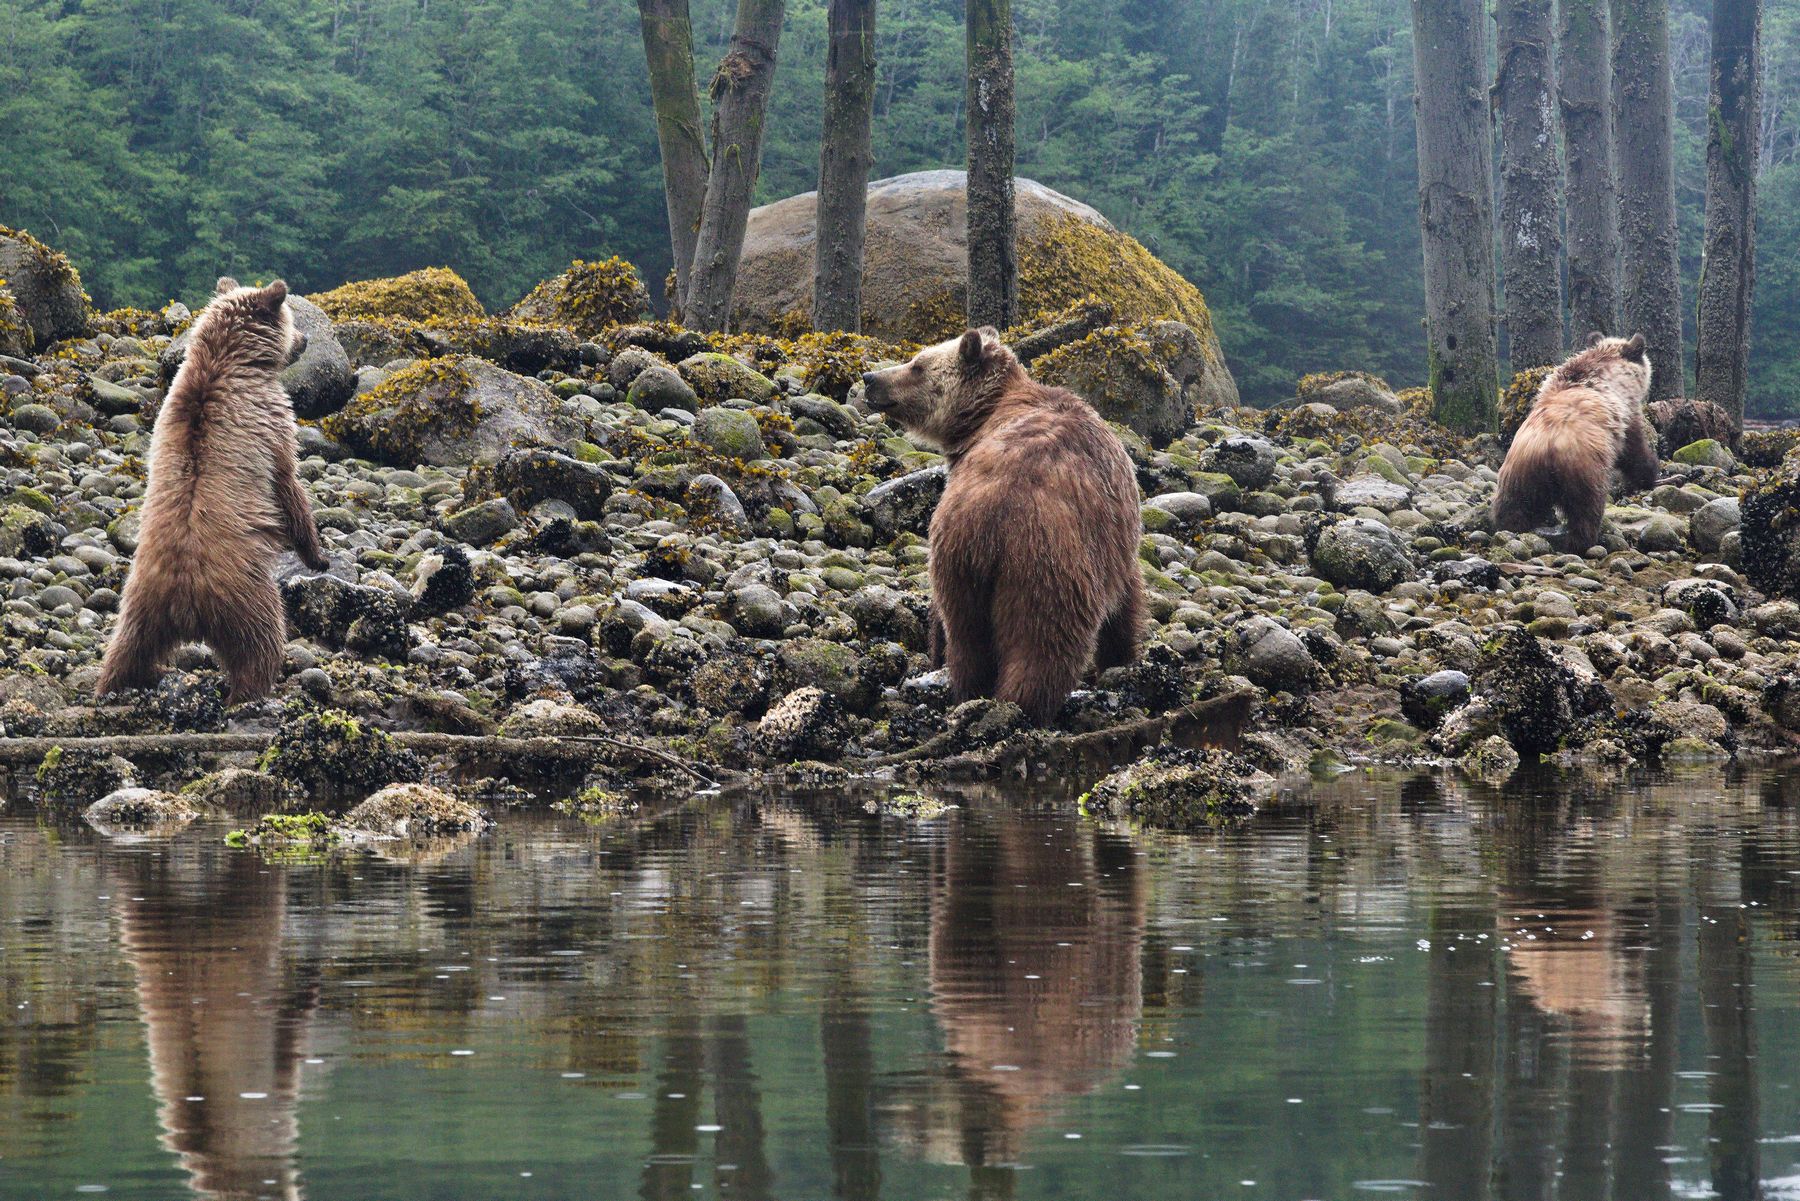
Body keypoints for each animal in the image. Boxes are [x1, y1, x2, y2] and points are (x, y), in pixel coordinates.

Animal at [97, 278, 329, 704]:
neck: (228, 359)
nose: (305, 340)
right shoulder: (271, 421)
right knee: (261, 644)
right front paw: (317, 555)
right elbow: (287, 482)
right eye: (292, 320)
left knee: (127, 647)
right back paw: (255, 691)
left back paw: (108, 686)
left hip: (141, 601)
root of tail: (185, 604)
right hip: (248, 595)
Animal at [861, 327, 1144, 725]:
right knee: (1043, 644)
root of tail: (993, 519)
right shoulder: (1113, 535)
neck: (986, 412)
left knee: (968, 638)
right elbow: (1125, 596)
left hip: (959, 563)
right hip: (1049, 568)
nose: (870, 378)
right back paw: (1023, 708)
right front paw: (1122, 656)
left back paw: (972, 694)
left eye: (917, 365)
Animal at [1492, 332, 1660, 552]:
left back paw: (1512, 527)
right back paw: (1583, 540)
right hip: (1584, 467)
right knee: (1587, 508)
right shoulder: (1624, 417)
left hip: (1518, 473)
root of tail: (1546, 448)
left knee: (1513, 506)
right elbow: (1635, 451)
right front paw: (1649, 474)